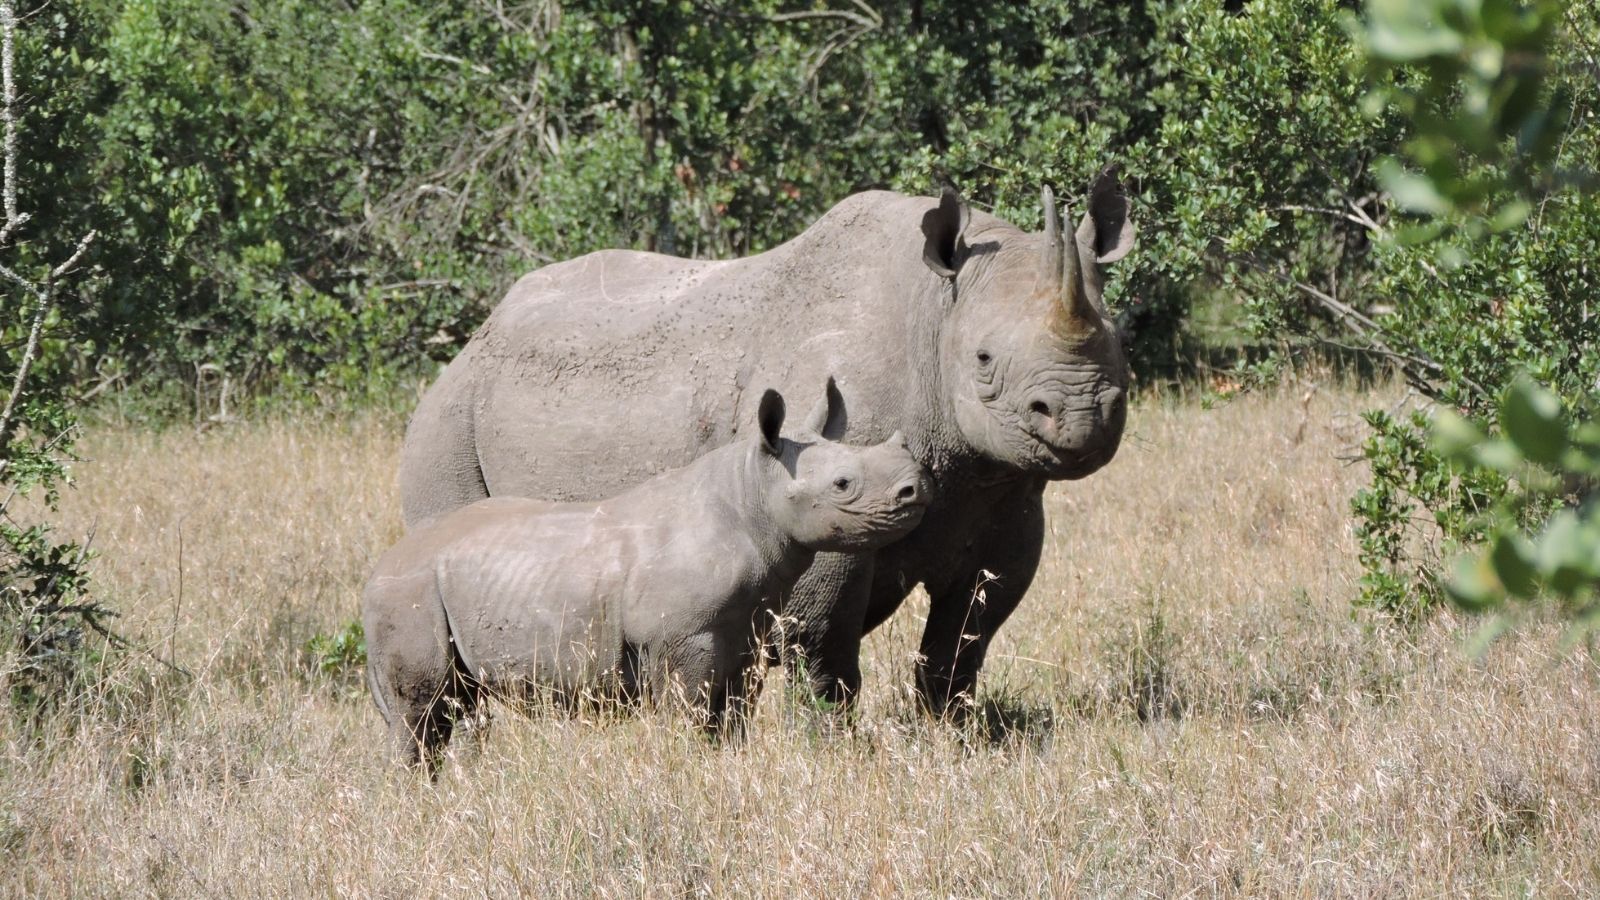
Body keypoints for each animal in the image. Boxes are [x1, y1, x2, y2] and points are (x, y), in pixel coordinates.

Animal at [366, 381, 928, 771]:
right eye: (843, 485)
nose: (915, 490)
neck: (753, 492)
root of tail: (378, 569)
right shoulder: (682, 638)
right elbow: (689, 716)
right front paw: (685, 770)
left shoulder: (745, 634)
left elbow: (731, 719)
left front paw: (725, 771)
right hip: (410, 590)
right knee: (421, 714)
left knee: (450, 707)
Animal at [399, 169, 1134, 717]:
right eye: (983, 361)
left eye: (1119, 340)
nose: (1080, 416)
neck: (933, 316)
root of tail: (477, 337)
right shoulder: (822, 506)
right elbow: (824, 652)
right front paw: (833, 753)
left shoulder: (1002, 499)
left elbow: (962, 645)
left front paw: (948, 740)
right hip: (446, 420)